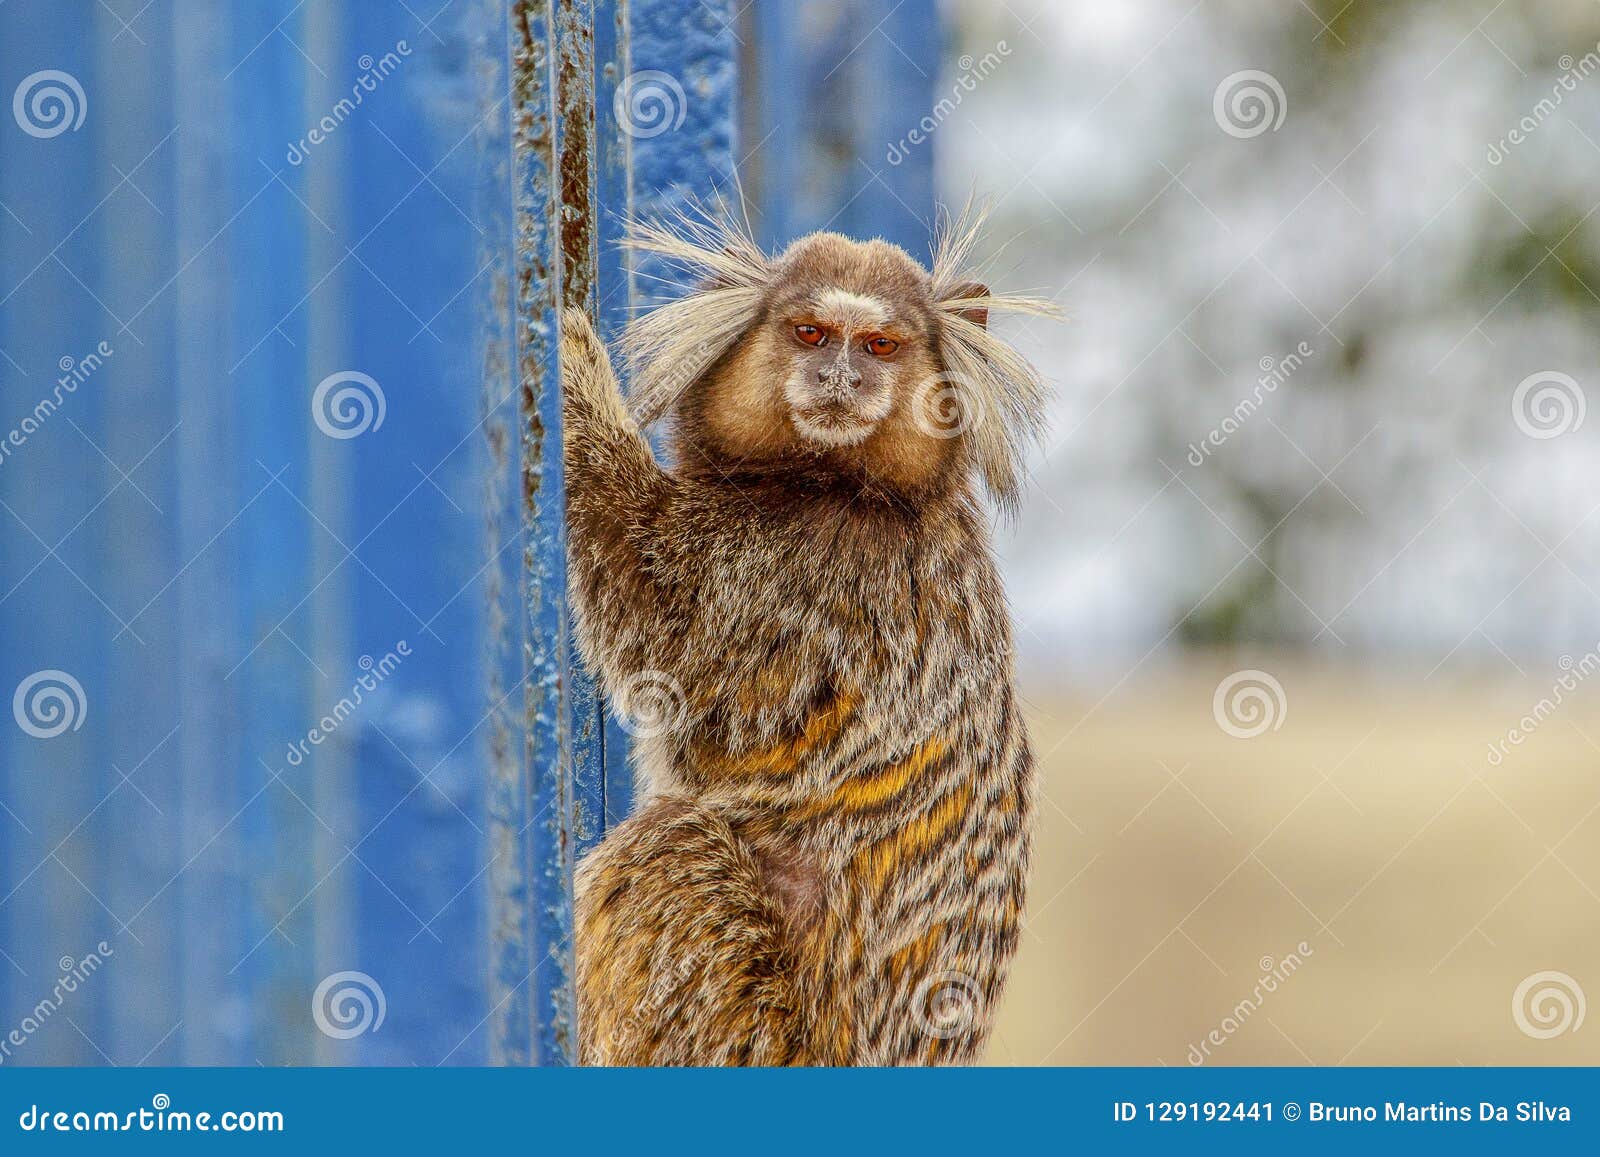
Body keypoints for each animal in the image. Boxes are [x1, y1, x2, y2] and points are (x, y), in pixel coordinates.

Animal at [561, 204, 1056, 1065]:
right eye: (811, 333)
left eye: (882, 345)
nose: (843, 380)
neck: (838, 485)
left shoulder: (798, 579)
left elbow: (657, 638)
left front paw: (573, 372)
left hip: (750, 1025)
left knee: (672, 853)